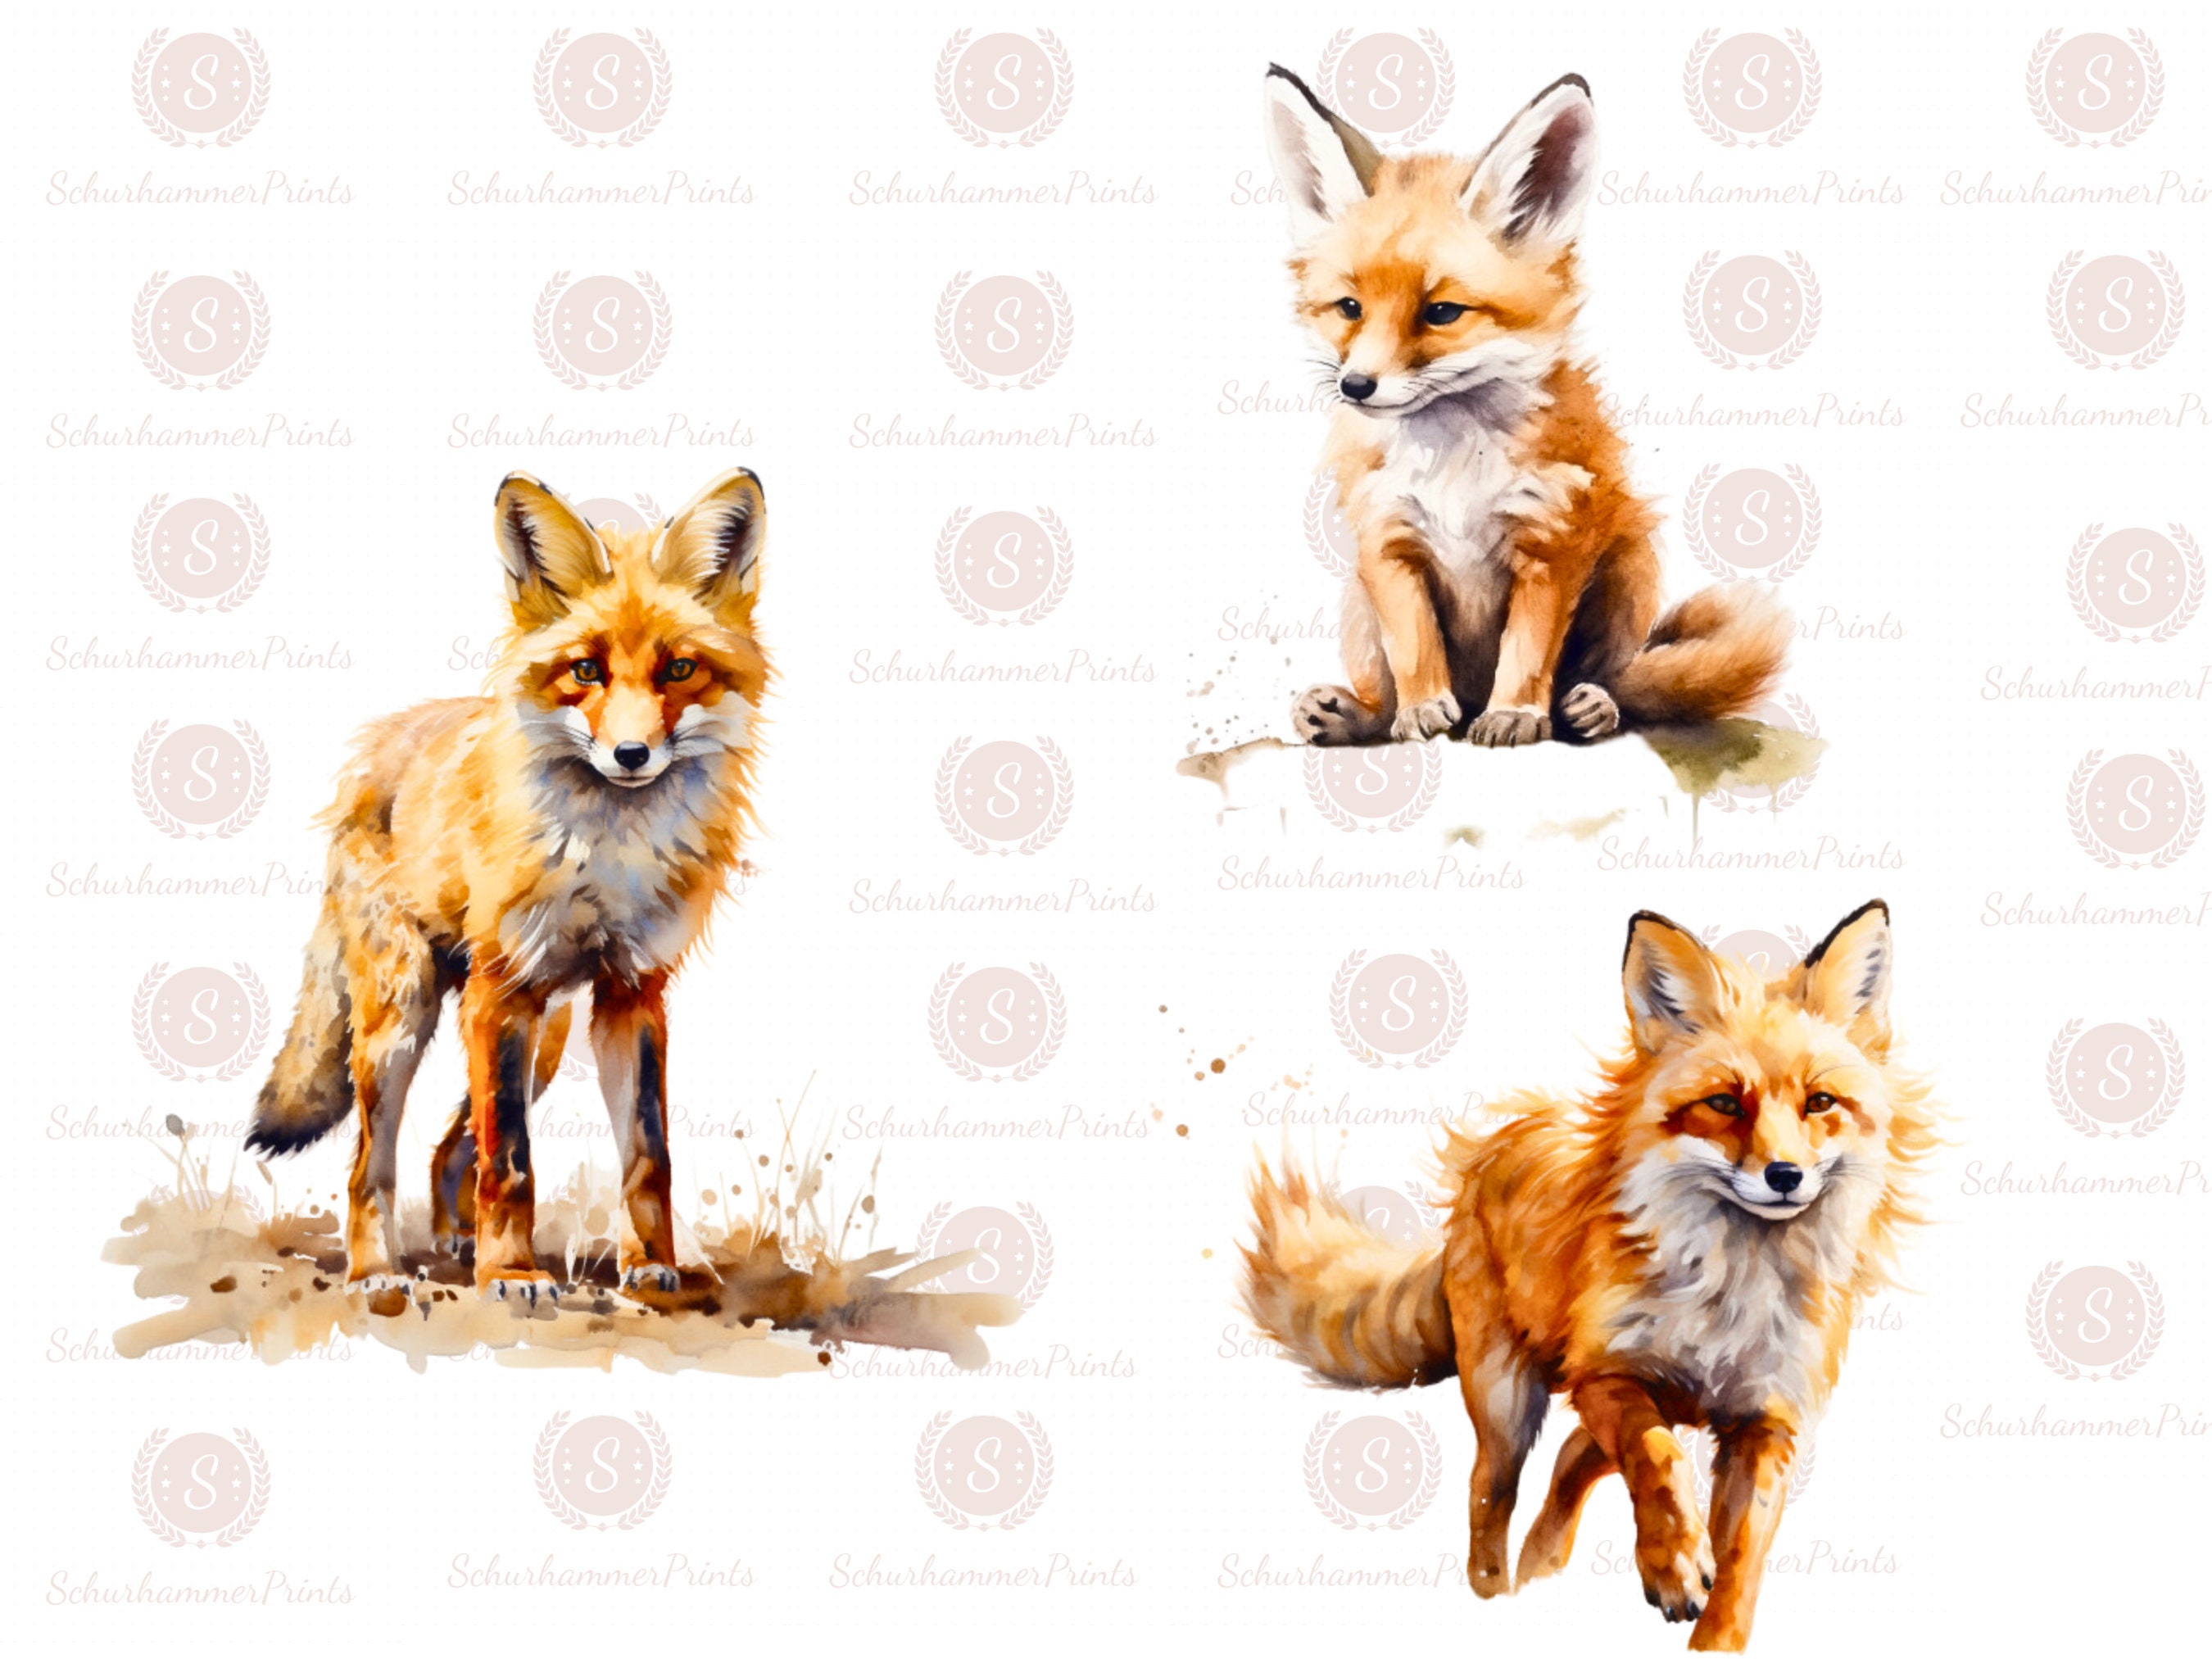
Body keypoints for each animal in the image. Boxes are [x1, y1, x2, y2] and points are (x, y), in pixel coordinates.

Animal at [245, 469, 768, 1305]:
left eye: (679, 669)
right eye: (585, 670)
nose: (631, 754)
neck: (610, 853)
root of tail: (376, 750)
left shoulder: (632, 992)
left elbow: (647, 1152)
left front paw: (650, 1263)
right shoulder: (505, 990)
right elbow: (513, 1158)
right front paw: (513, 1272)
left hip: (542, 1035)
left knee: (449, 1144)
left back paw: (456, 1239)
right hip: (407, 1017)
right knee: (371, 1164)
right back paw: (377, 1269)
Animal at [1243, 901, 1932, 1651]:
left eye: (1820, 1102)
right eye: (1725, 1103)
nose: (1785, 1175)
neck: (1730, 1290)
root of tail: (1492, 1144)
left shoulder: (1767, 1420)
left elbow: (1741, 1563)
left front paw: (1712, 1627)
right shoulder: (1608, 1372)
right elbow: (1657, 1458)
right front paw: (1674, 1565)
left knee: (1575, 1454)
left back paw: (1541, 1568)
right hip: (1507, 1402)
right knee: (1493, 1491)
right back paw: (1498, 1594)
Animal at [1260, 65, 1790, 748]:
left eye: (1441, 312)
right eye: (1349, 308)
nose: (1356, 386)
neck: (1454, 465)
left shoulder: (1551, 540)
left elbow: (1529, 649)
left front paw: (1515, 712)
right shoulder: (1387, 541)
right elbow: (1413, 649)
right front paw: (1421, 710)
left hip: (1628, 571)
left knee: (1618, 682)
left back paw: (1589, 707)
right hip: (1357, 601)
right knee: (1384, 688)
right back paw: (1354, 715)